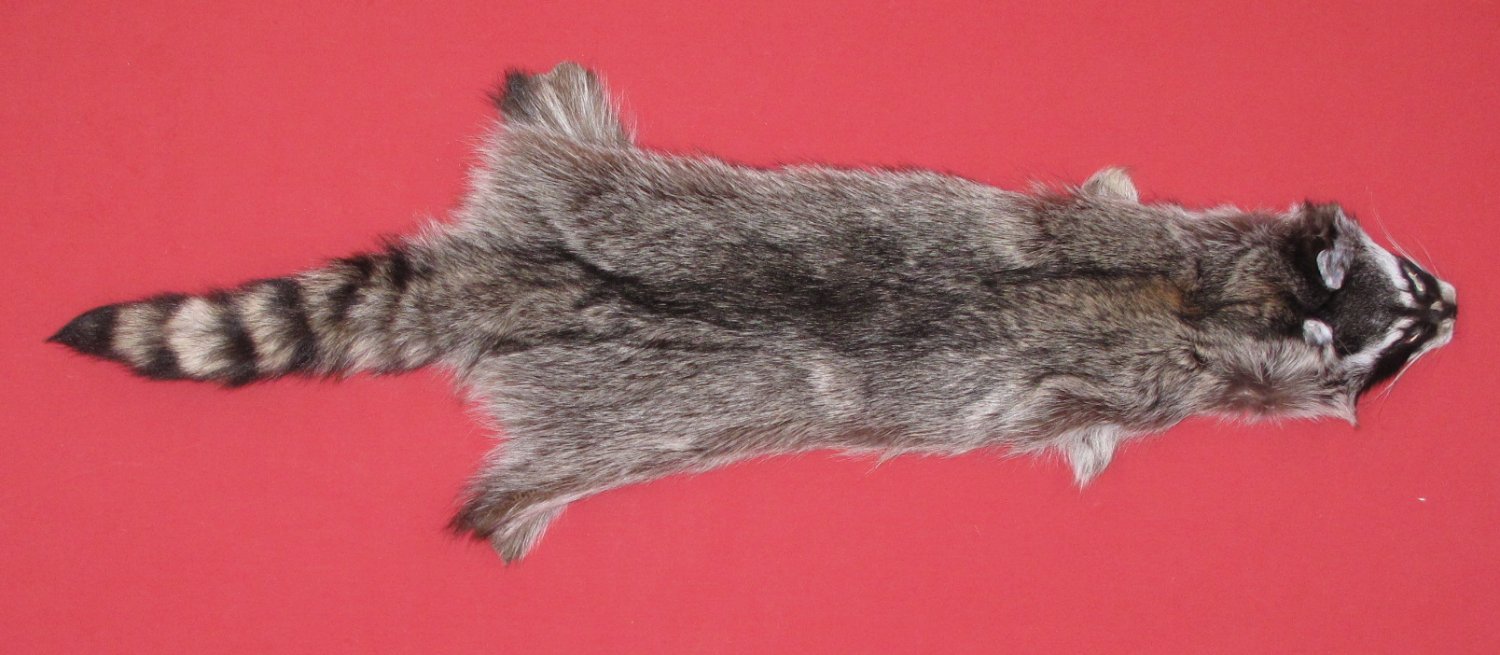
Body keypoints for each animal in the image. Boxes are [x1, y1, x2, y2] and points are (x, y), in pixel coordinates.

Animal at [50, 62, 1457, 562]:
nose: (1456, 303)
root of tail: (528, 273)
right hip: (628, 414)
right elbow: (1094, 405)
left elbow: (1090, 200)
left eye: (1411, 290)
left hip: (595, 196)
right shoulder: (1153, 356)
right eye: (1400, 337)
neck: (1232, 287)